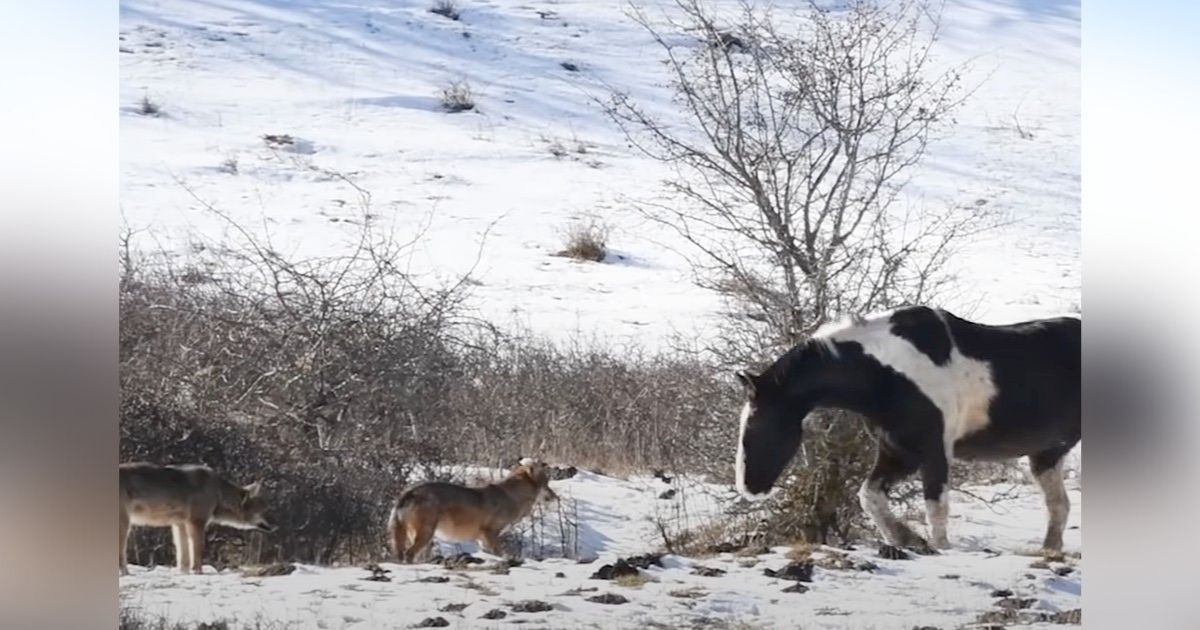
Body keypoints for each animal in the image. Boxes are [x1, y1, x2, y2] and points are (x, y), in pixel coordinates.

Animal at [119, 462, 276, 575]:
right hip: (125, 526)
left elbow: (183, 557)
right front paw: (198, 572)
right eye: (265, 511)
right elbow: (198, 549)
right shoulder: (197, 522)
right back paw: (126, 574)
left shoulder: (179, 524)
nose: (276, 526)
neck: (217, 493)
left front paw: (185, 573)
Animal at [387, 458, 559, 563]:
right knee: (409, 554)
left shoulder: (482, 540)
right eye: (547, 484)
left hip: (422, 538)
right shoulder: (490, 533)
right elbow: (500, 553)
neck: (511, 497)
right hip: (426, 534)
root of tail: (408, 492)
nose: (556, 497)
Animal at [734, 305, 1080, 553]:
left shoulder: (934, 451)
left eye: (757, 424)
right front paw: (906, 539)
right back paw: (1049, 551)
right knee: (1059, 506)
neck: (887, 373)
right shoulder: (899, 451)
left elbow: (936, 510)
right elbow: (868, 496)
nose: (748, 487)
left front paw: (934, 546)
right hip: (1047, 454)